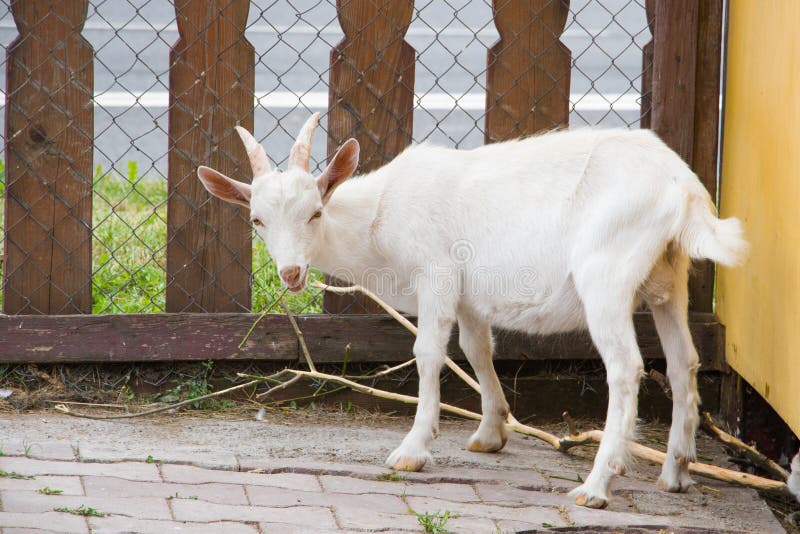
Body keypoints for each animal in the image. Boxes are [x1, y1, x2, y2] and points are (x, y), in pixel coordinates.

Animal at [197, 113, 747, 509]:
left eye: (315, 212)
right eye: (257, 219)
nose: (291, 274)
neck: (379, 215)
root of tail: (684, 190)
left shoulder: (436, 274)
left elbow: (428, 352)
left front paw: (413, 451)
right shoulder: (467, 296)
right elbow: (476, 349)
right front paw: (490, 432)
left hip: (606, 274)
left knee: (626, 366)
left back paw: (596, 486)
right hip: (668, 279)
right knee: (683, 362)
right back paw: (676, 472)